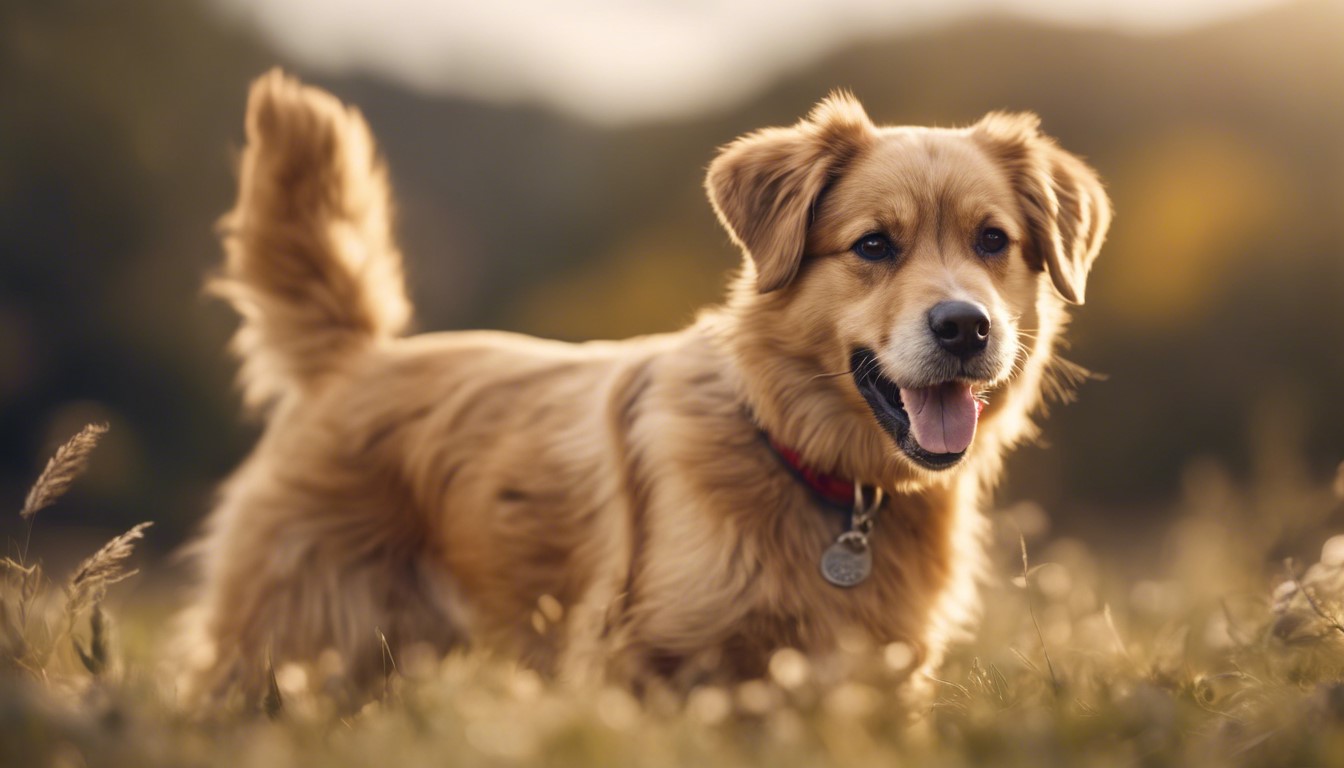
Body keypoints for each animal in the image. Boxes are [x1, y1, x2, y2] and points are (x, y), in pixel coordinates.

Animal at [173, 69, 1107, 704]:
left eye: (992, 241)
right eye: (874, 246)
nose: (965, 327)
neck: (818, 476)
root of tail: (354, 359)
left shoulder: (877, 681)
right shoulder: (642, 668)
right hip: (277, 659)